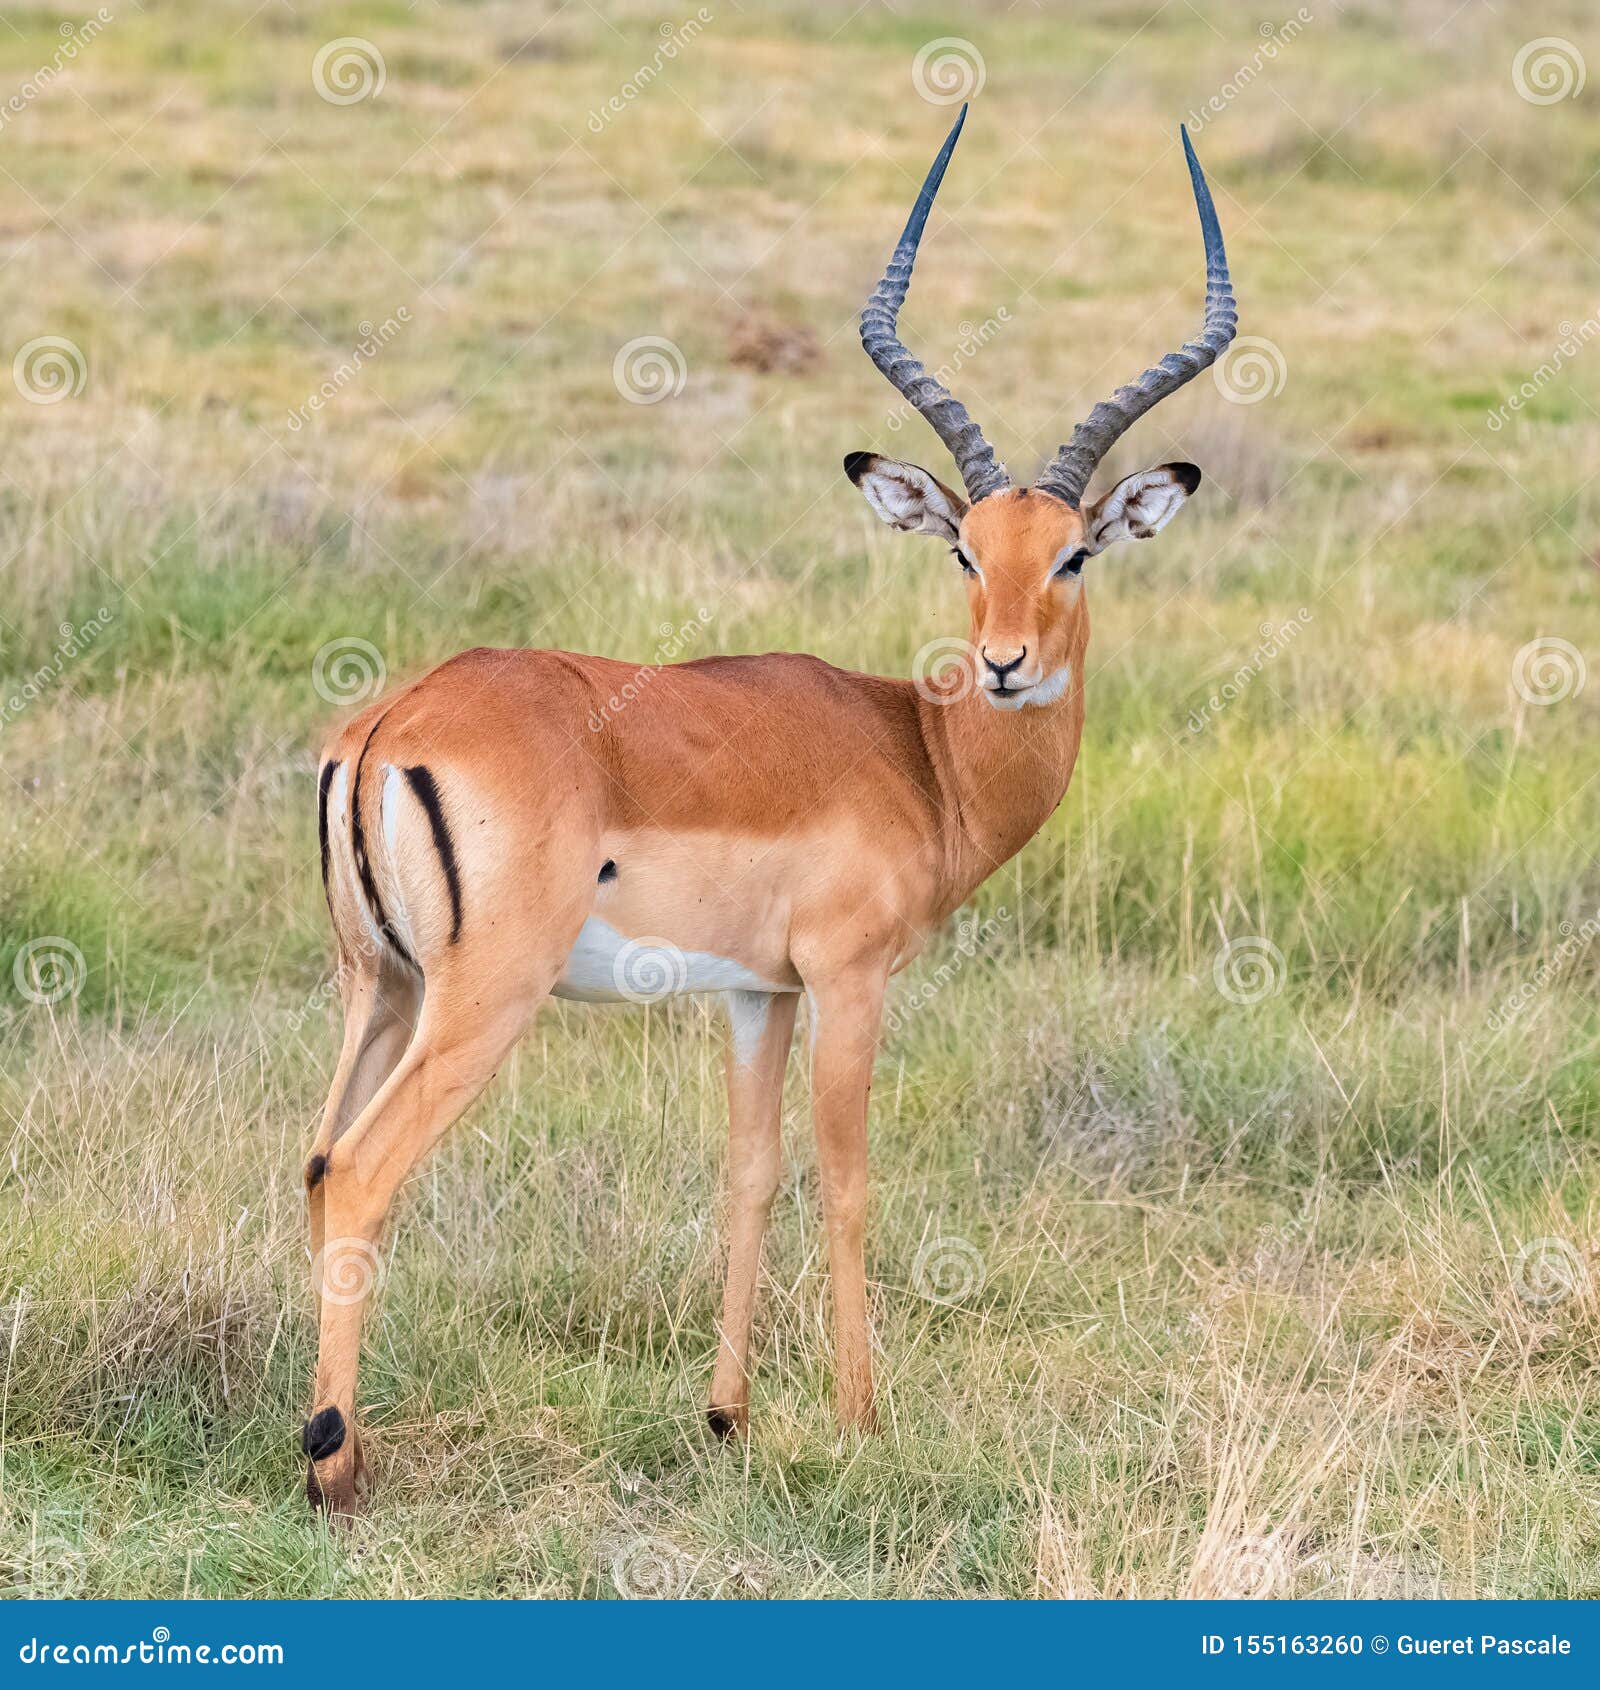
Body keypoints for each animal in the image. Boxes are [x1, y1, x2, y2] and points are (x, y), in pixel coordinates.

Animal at [301, 105, 1237, 1514]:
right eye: (965, 550)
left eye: (1070, 552)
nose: (1006, 663)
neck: (917, 752)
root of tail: (391, 724)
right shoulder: (847, 978)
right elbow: (845, 1176)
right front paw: (860, 1418)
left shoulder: (758, 991)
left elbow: (747, 1173)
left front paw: (726, 1414)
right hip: (483, 997)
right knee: (361, 1171)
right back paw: (337, 1466)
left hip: (383, 987)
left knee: (311, 1162)